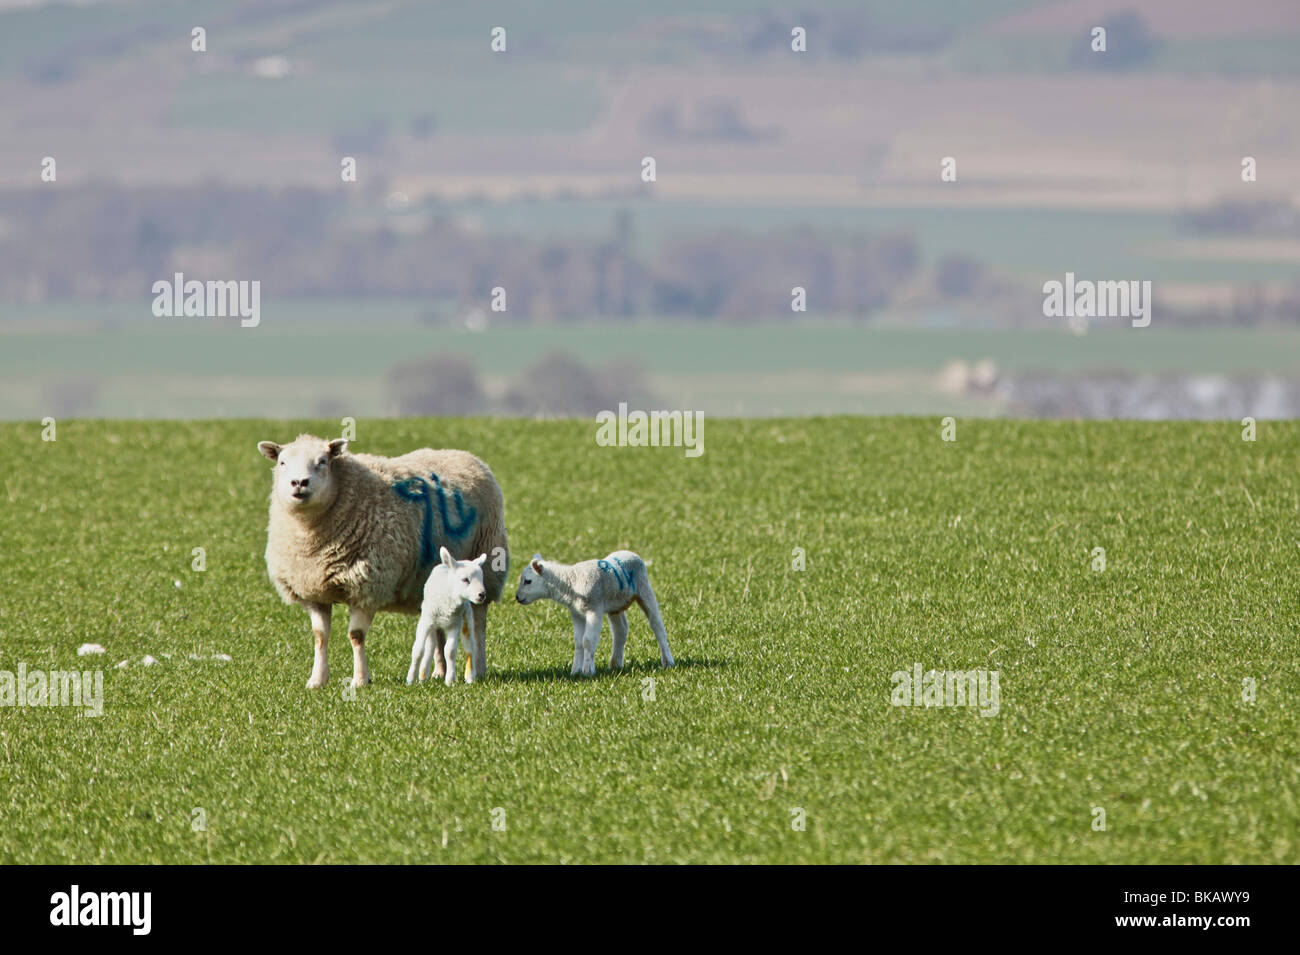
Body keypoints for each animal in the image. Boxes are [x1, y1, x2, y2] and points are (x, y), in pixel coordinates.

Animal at [408, 547, 488, 686]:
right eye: (465, 579)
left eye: (481, 579)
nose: (482, 594)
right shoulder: (425, 622)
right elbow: (418, 650)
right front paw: (410, 679)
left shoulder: (454, 624)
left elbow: (450, 651)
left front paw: (450, 680)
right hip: (431, 621)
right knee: (430, 646)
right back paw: (423, 676)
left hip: (466, 617)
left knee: (469, 645)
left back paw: (470, 677)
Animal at [514, 550, 674, 676]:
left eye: (528, 581)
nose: (517, 597)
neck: (571, 581)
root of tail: (631, 553)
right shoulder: (576, 613)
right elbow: (578, 642)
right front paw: (575, 671)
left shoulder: (594, 609)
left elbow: (588, 640)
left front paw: (587, 670)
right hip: (615, 604)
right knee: (620, 630)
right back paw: (616, 664)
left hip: (644, 588)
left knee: (657, 625)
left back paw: (667, 660)